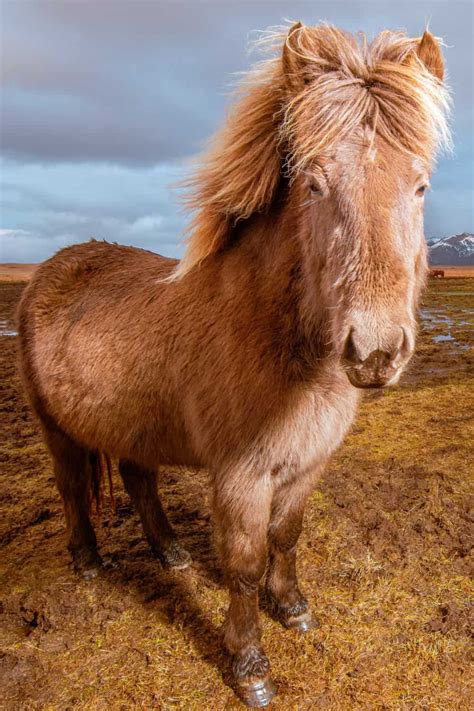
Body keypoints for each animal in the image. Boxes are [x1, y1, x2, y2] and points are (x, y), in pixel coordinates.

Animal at [17, 22, 450, 708]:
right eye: (315, 185)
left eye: (421, 184)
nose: (377, 351)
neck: (281, 342)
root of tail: (47, 271)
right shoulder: (242, 475)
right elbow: (244, 565)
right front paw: (249, 663)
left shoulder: (306, 463)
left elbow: (287, 537)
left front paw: (293, 608)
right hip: (55, 429)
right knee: (68, 486)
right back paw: (86, 561)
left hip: (134, 422)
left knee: (139, 478)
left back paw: (171, 553)